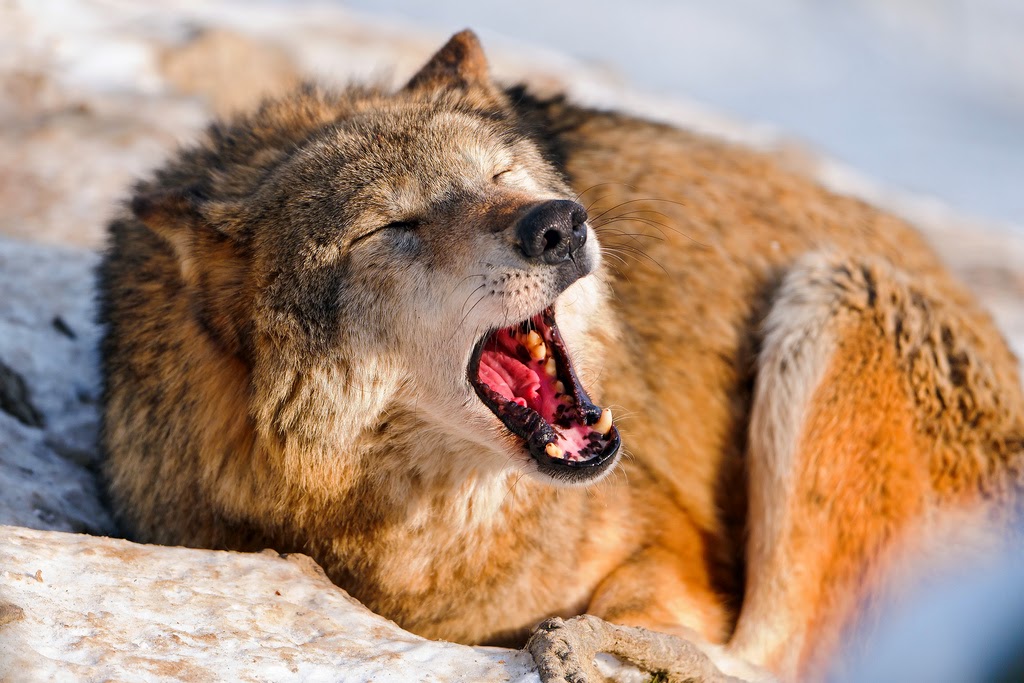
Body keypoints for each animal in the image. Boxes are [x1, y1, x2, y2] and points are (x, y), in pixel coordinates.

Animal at [98, 30, 1024, 681]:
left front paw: (596, 637)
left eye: (503, 173)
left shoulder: (670, 541)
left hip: (835, 291)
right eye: (389, 226)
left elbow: (644, 595)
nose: (558, 222)